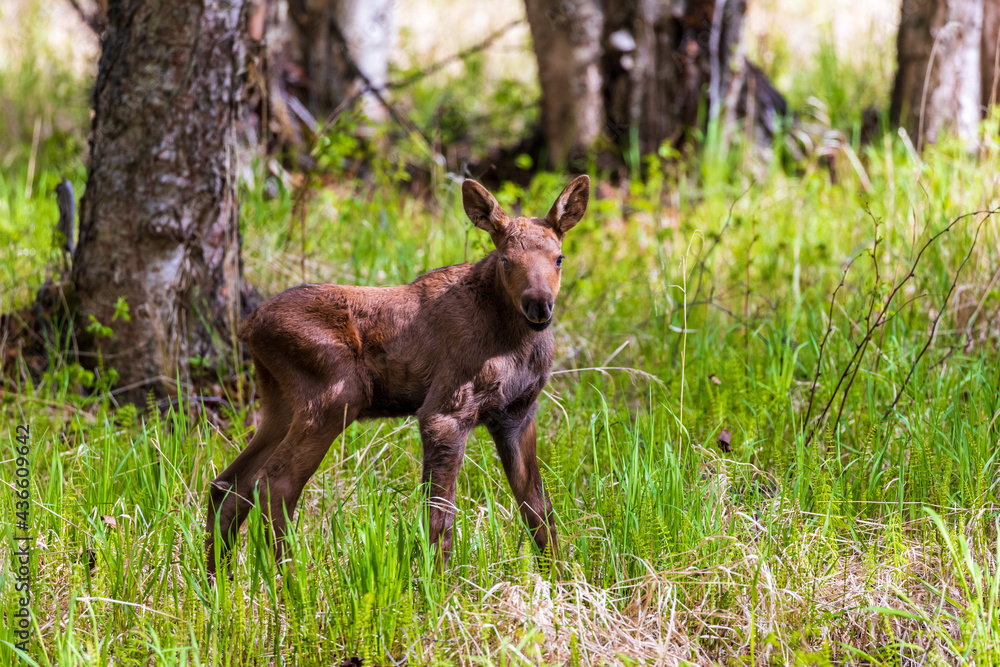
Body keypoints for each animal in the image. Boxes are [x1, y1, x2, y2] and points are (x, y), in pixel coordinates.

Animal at [204, 175, 591, 576]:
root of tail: (249, 327)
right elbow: (440, 516)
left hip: (281, 402)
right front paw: (439, 584)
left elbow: (538, 511)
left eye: (558, 258)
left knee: (229, 483)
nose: (539, 305)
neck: (514, 344)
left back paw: (219, 580)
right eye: (506, 261)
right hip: (335, 395)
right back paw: (289, 582)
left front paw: (560, 579)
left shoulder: (516, 414)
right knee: (274, 485)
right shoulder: (445, 411)